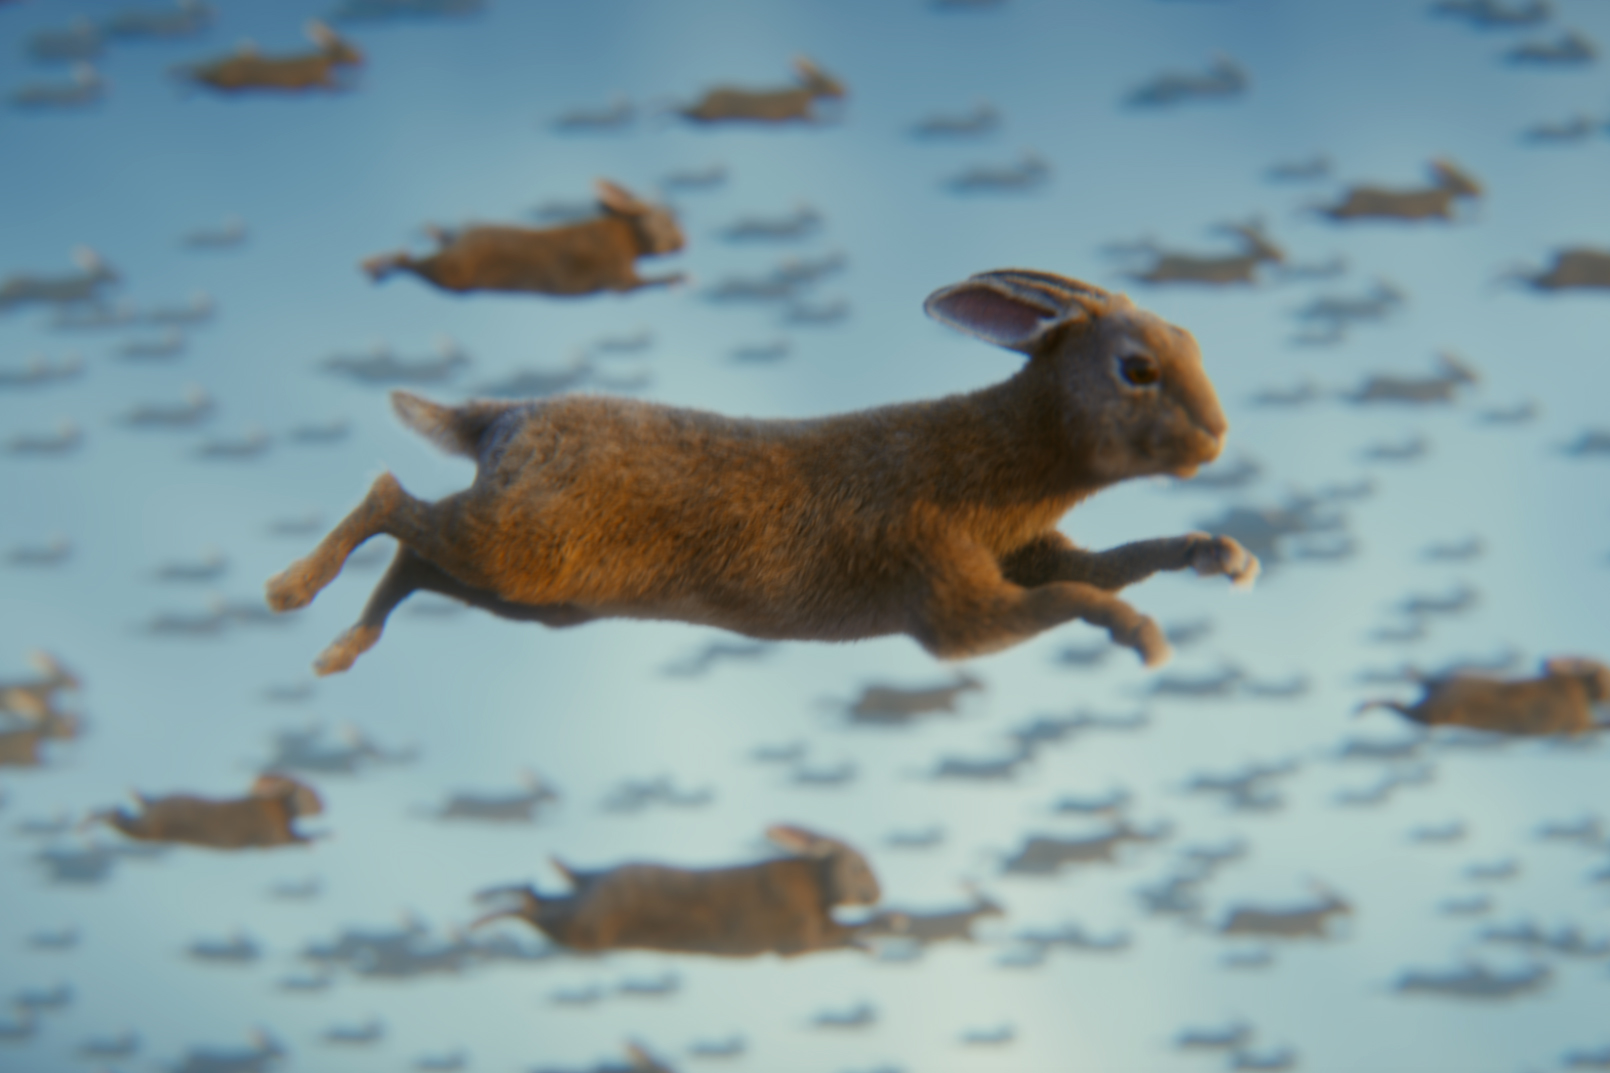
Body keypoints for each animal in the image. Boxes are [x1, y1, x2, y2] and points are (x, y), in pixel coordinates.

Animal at [266, 269, 1258, 676]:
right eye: (1137, 368)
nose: (1216, 438)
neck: (996, 456)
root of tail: (496, 419)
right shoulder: (942, 583)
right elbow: (1061, 600)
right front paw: (1141, 635)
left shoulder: (1029, 547)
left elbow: (1109, 561)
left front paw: (1221, 553)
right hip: (519, 547)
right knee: (392, 500)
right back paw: (290, 593)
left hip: (536, 589)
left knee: (417, 555)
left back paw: (340, 648)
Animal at [361, 179, 685, 297]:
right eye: (665, 218)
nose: (685, 242)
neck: (628, 235)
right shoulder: (619, 277)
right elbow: (641, 283)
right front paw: (678, 278)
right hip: (453, 271)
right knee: (408, 261)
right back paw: (374, 266)